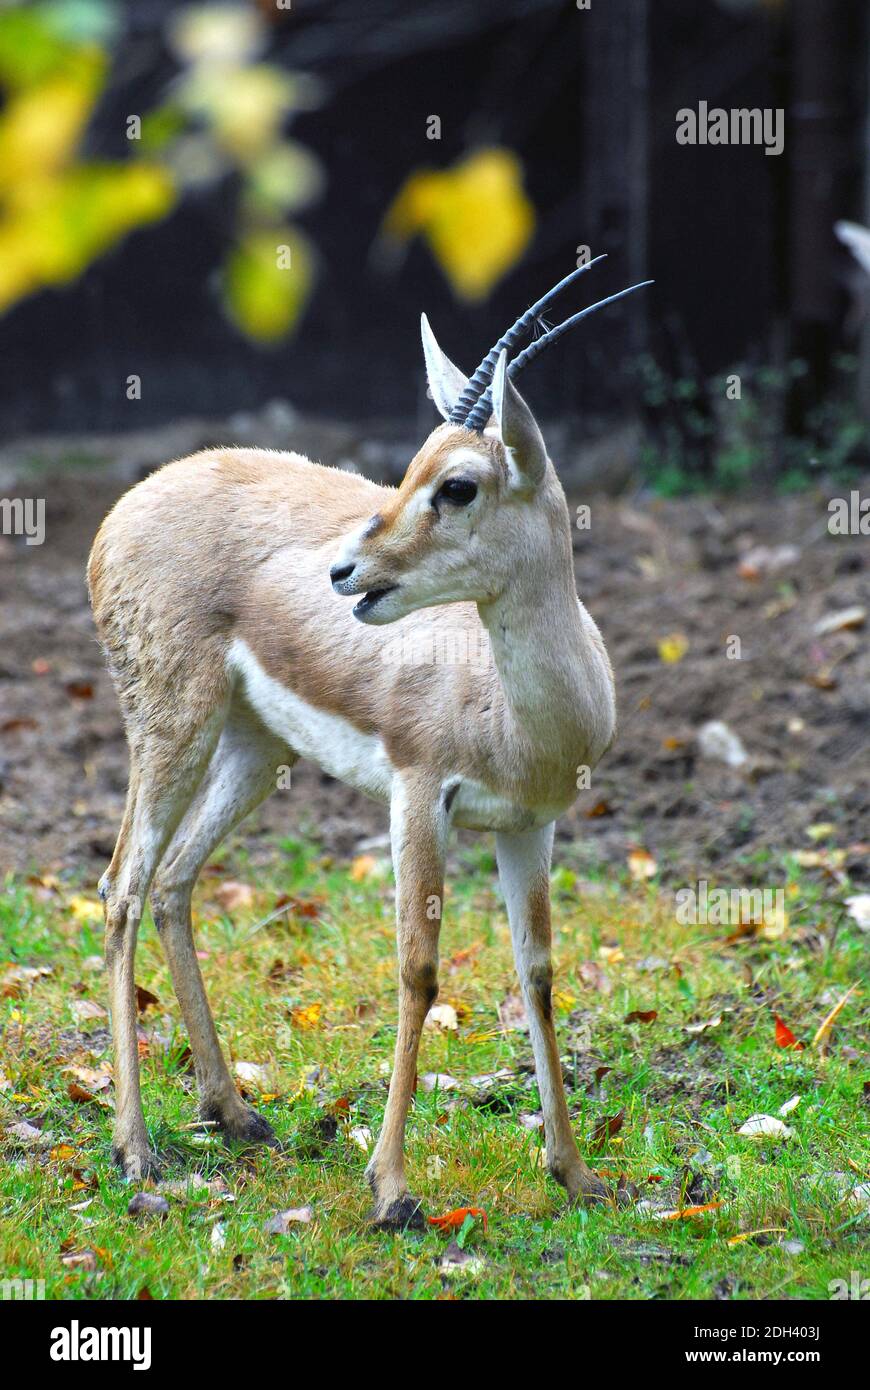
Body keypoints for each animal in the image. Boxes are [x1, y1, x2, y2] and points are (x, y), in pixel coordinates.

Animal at [88, 261, 650, 1226]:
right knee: (122, 887)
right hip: (171, 727)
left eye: (456, 485)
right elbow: (418, 970)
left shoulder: (530, 827)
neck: (520, 710)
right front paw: (391, 1189)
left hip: (256, 749)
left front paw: (577, 1174)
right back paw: (138, 1154)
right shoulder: (418, 795)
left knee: (173, 881)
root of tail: (128, 505)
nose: (345, 573)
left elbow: (537, 972)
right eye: (413, 469)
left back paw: (234, 1114)